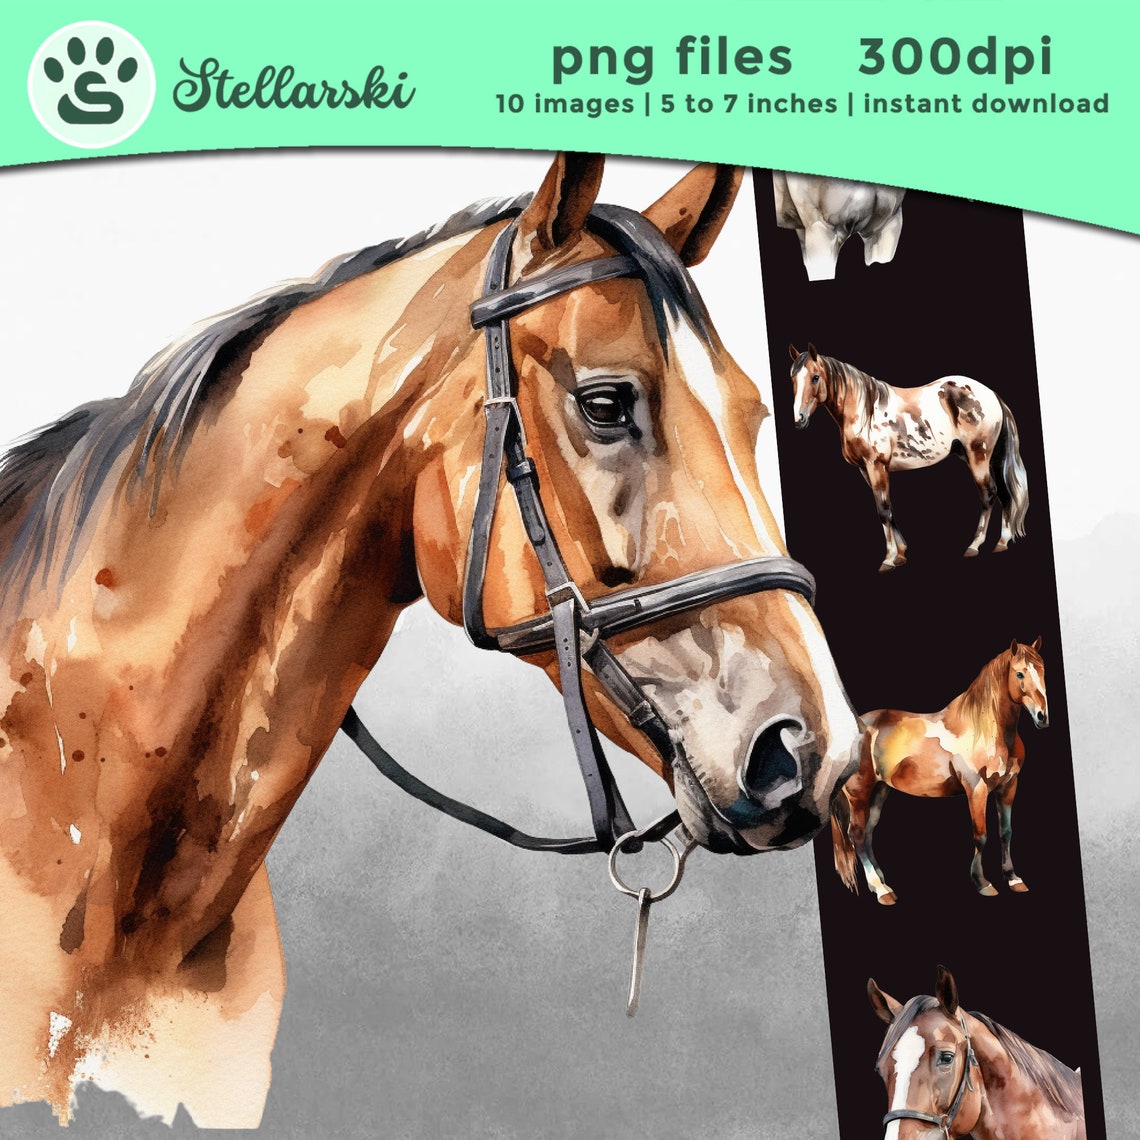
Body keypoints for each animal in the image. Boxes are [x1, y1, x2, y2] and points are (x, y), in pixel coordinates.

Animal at [789, 344, 1029, 571]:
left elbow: (883, 511)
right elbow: (890, 510)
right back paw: (1002, 542)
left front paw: (888, 559)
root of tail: (992, 395)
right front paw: (901, 554)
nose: (799, 419)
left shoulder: (876, 466)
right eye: (793, 378)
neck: (864, 410)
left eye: (815, 377)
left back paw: (974, 546)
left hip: (978, 456)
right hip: (993, 458)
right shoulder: (866, 470)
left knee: (989, 494)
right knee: (1005, 495)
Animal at [831, 638, 1047, 904]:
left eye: (1043, 671)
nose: (1042, 717)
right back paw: (882, 891)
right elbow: (981, 835)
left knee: (869, 834)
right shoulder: (976, 789)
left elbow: (1005, 832)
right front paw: (983, 883)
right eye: (1019, 673)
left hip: (879, 791)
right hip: (859, 793)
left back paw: (881, 882)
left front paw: (1014, 879)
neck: (986, 730)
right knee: (857, 835)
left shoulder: (1008, 787)